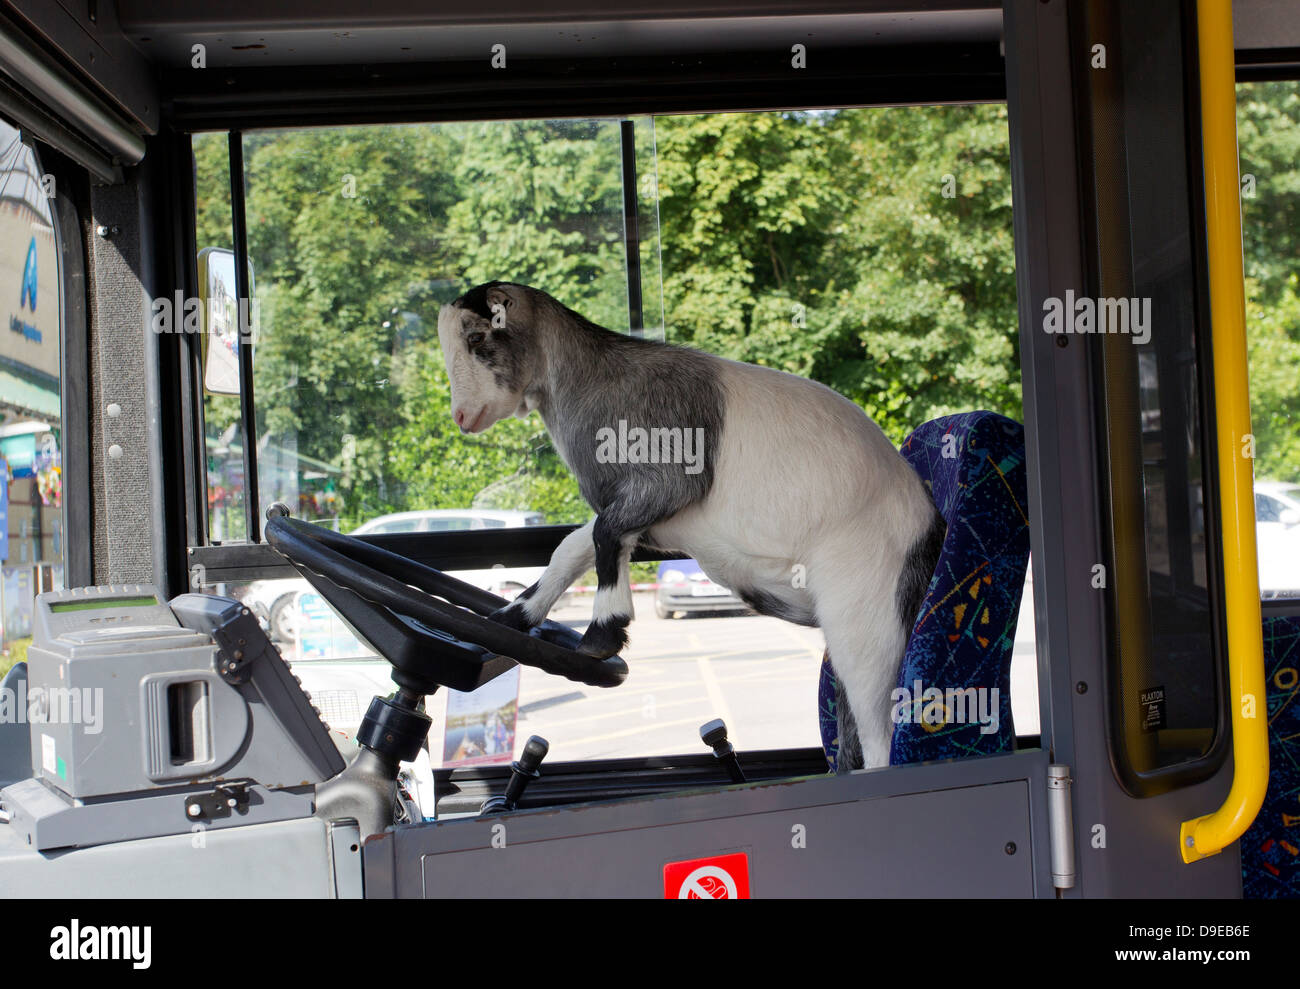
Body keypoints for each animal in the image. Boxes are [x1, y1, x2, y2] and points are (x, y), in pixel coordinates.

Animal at [437, 281, 945, 770]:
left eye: (477, 337)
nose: (461, 416)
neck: (595, 381)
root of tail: (927, 523)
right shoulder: (633, 508)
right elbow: (576, 547)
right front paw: (510, 617)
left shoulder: (665, 477)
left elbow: (603, 536)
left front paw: (603, 632)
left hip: (864, 618)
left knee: (879, 736)